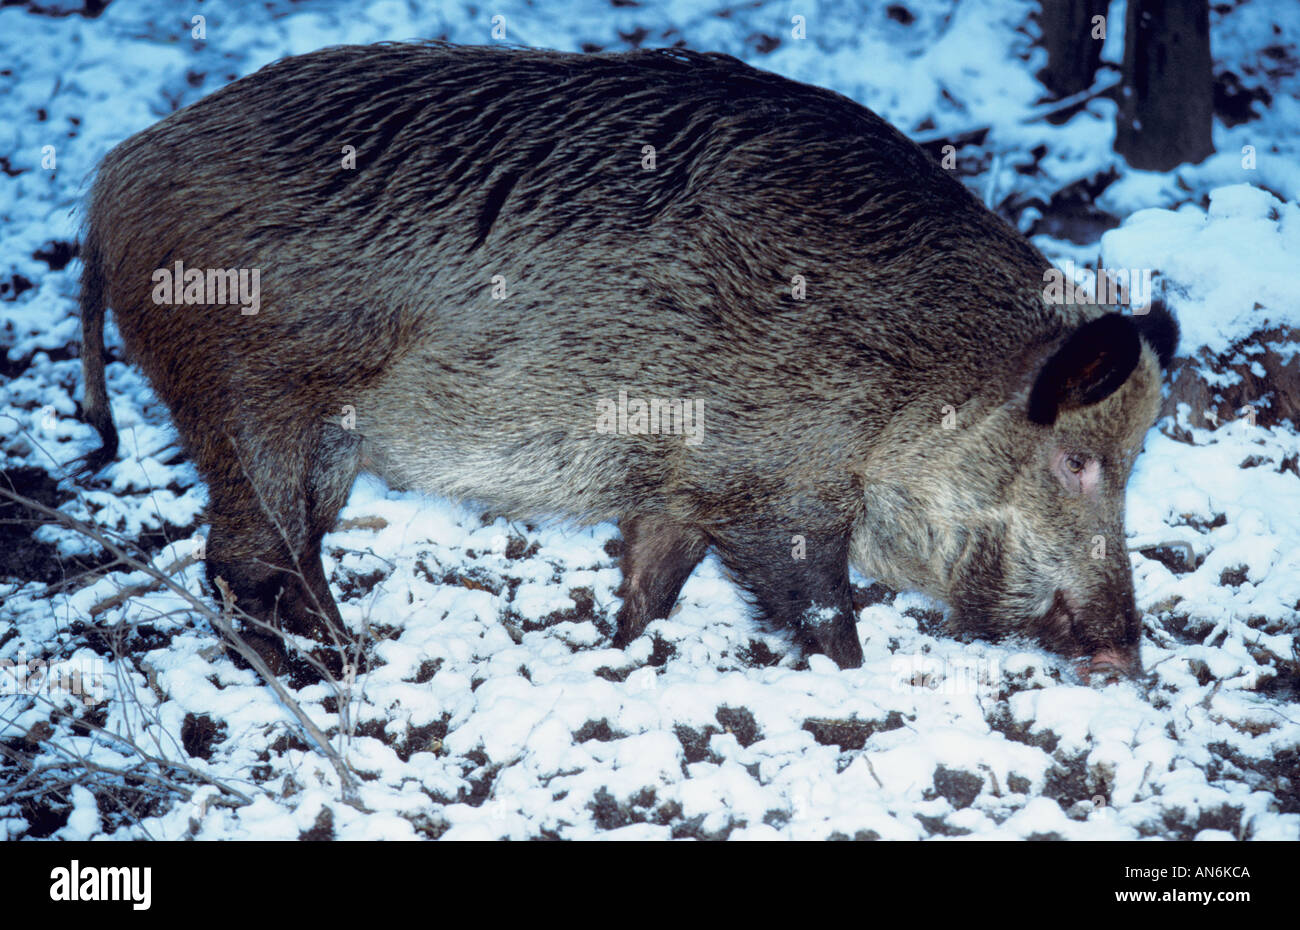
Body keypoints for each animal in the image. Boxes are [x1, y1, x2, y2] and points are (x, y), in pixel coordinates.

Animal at [77, 43, 1178, 680]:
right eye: (1078, 462)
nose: (1126, 657)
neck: (920, 373)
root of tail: (111, 179)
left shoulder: (680, 485)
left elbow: (653, 578)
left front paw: (620, 655)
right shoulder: (775, 483)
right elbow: (822, 607)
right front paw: (850, 678)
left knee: (274, 554)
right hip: (255, 406)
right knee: (248, 561)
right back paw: (345, 669)